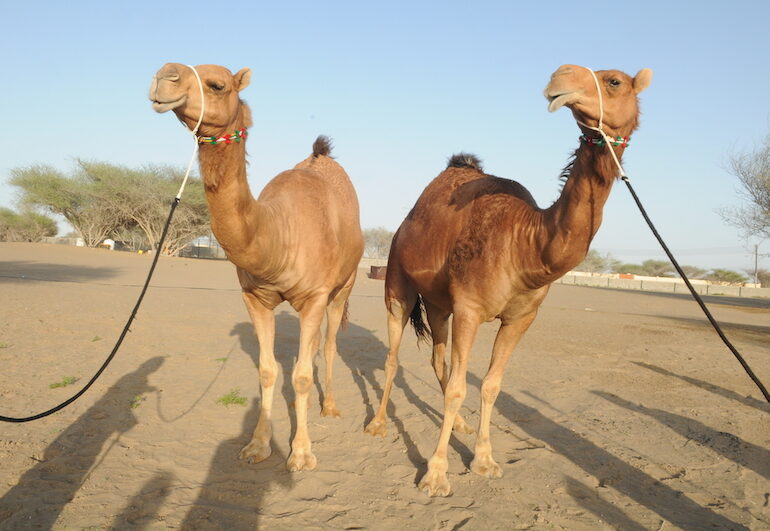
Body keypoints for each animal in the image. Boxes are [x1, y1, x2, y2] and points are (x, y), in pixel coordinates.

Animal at [149, 63, 364, 471]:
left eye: (217, 84)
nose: (164, 76)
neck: (279, 231)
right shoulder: (255, 298)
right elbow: (267, 370)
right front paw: (257, 446)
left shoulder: (315, 296)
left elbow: (300, 376)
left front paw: (301, 454)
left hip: (343, 287)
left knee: (329, 345)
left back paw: (329, 406)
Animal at [364, 64, 653, 496]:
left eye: (614, 81)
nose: (559, 78)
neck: (527, 243)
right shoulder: (470, 309)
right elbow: (459, 388)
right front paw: (435, 474)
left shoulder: (520, 318)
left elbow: (490, 385)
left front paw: (484, 460)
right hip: (398, 279)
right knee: (395, 355)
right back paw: (378, 424)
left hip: (438, 302)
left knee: (437, 358)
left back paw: (461, 425)